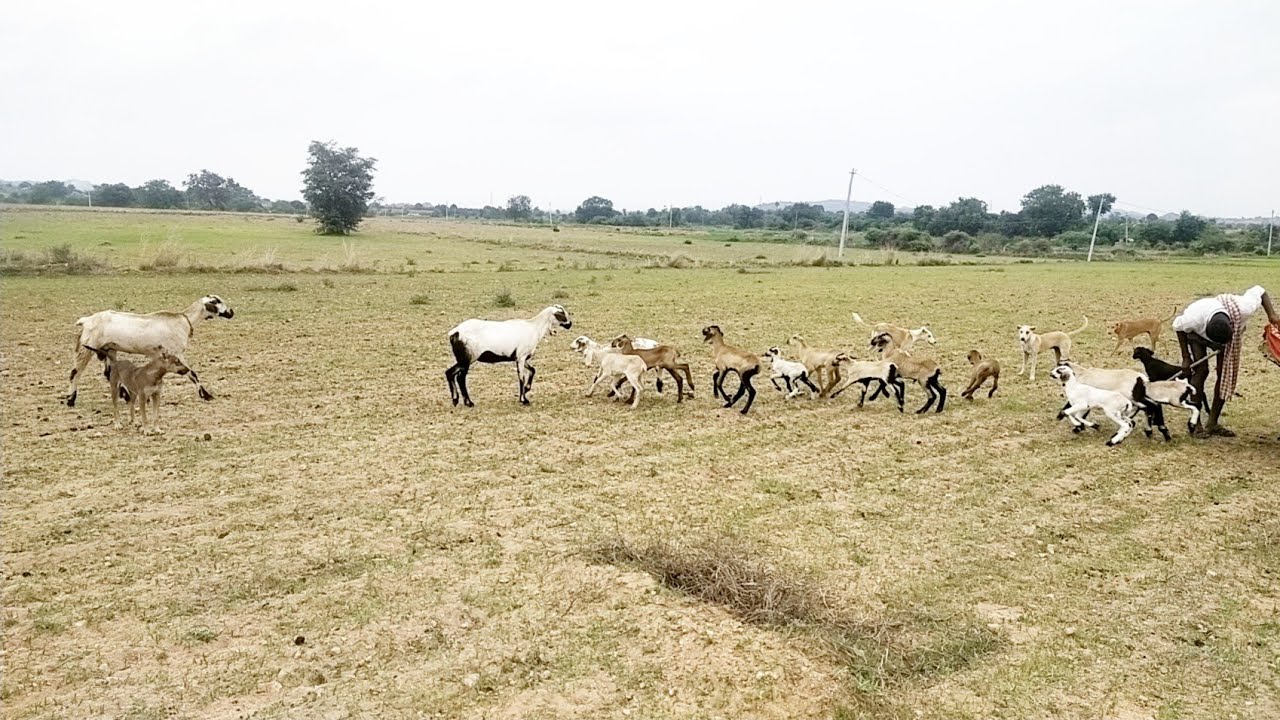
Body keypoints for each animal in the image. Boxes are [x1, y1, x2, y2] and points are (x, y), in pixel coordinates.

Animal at [66, 294, 234, 407]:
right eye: (217, 301)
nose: (231, 312)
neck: (184, 320)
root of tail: (86, 320)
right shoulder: (176, 352)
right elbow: (192, 373)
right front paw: (206, 395)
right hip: (86, 348)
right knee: (75, 373)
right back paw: (70, 400)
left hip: (109, 349)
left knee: (109, 373)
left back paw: (125, 396)